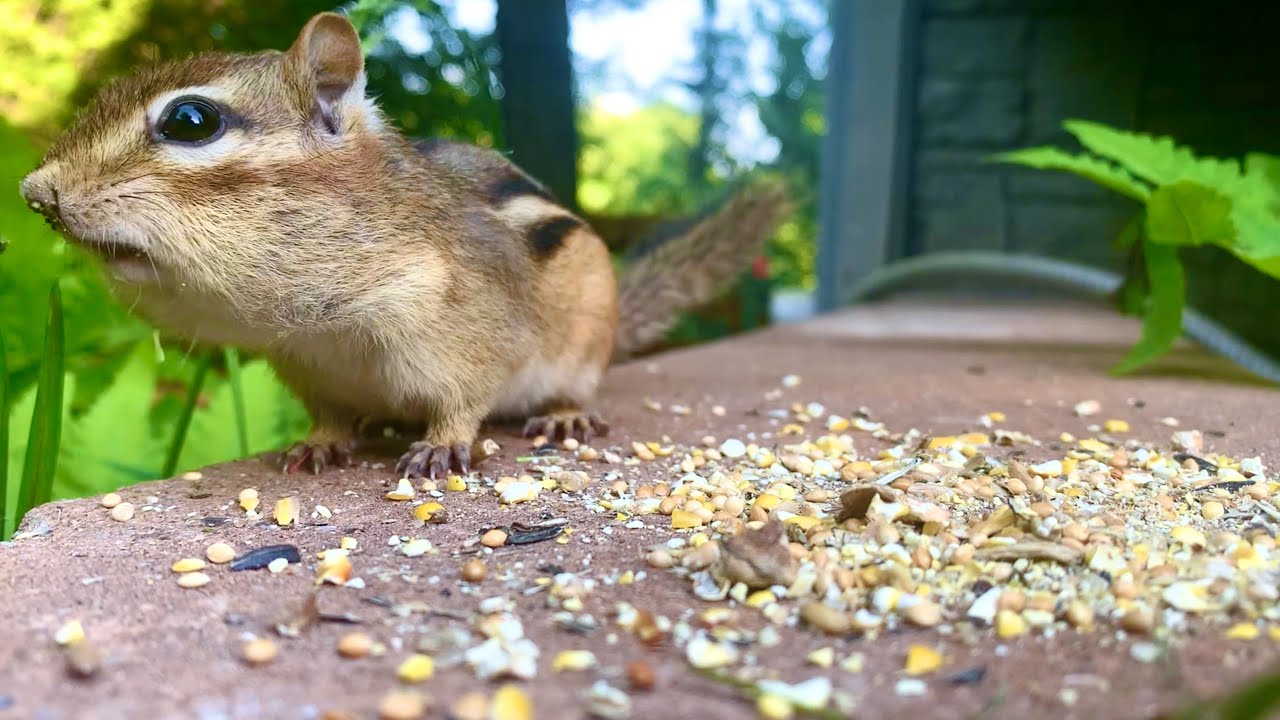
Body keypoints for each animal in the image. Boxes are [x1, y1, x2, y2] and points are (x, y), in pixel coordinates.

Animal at [19, 12, 790, 480]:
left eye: (190, 119)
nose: (35, 192)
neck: (323, 320)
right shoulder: (306, 367)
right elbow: (328, 415)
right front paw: (319, 441)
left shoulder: (468, 326)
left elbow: (467, 393)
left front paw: (443, 442)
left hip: (584, 336)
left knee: (574, 383)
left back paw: (564, 412)